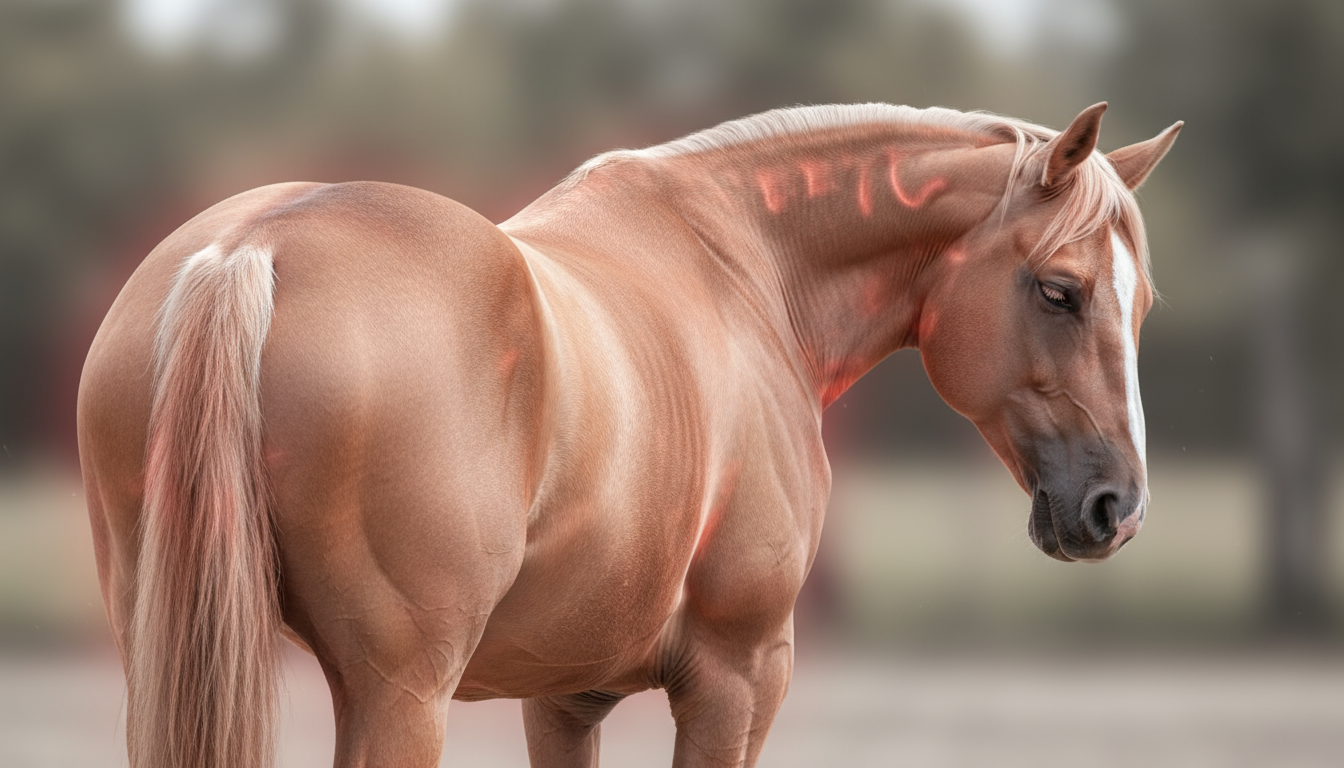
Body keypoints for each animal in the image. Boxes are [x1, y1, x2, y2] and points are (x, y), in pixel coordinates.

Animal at [77, 101, 1180, 768]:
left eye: (1142, 303)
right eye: (1060, 290)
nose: (1117, 507)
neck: (749, 267)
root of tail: (252, 249)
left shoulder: (565, 696)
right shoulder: (739, 677)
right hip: (399, 694)